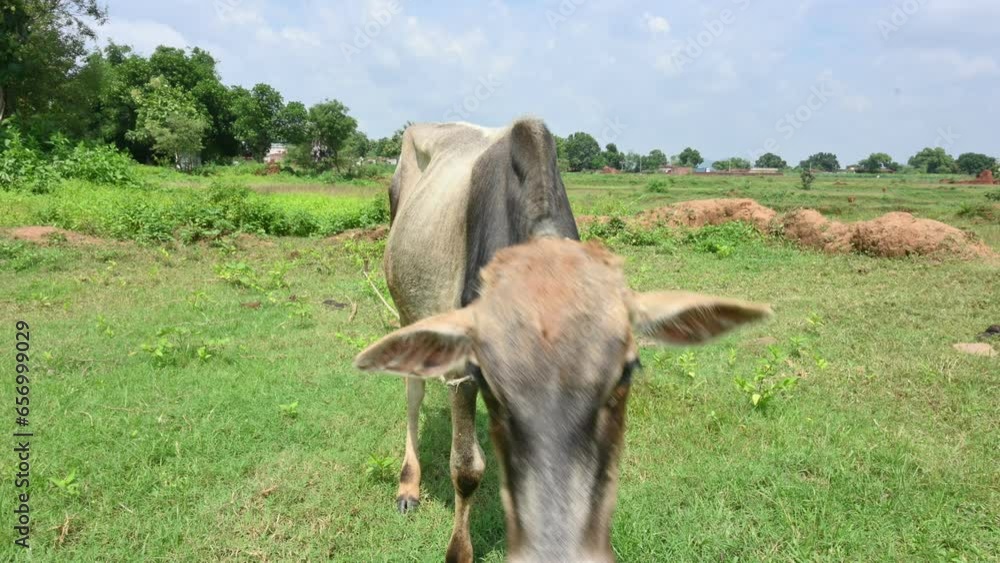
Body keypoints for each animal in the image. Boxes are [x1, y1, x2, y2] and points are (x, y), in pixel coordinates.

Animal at [355, 118, 771, 562]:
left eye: (622, 375)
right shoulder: (464, 369)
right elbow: (466, 468)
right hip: (406, 307)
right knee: (413, 393)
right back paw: (408, 486)